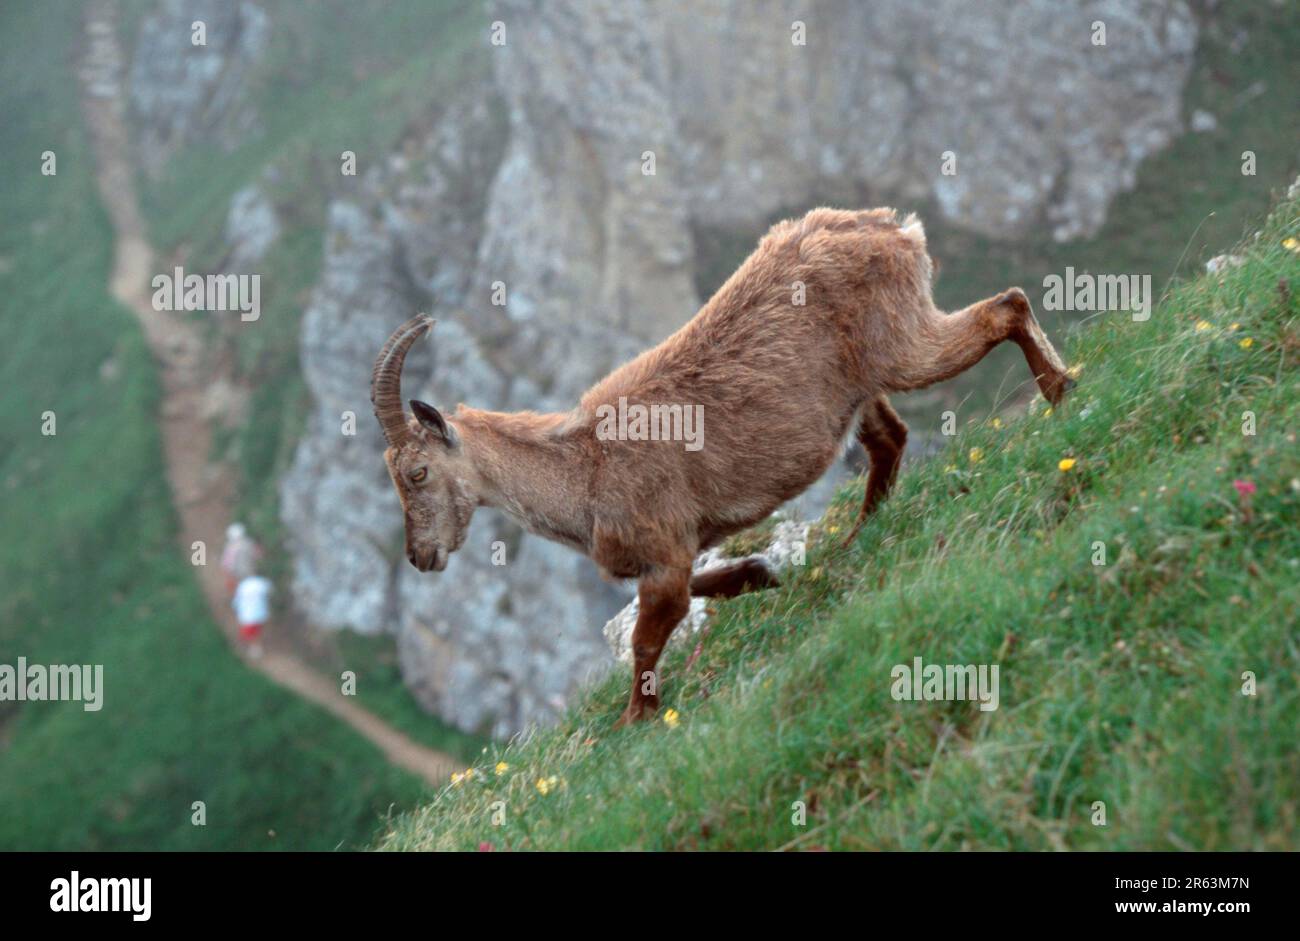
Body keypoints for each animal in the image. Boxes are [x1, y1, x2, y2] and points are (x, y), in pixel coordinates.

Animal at [370, 207, 1072, 726]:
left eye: (417, 474)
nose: (420, 556)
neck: (582, 470)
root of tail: (892, 228)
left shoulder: (663, 555)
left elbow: (646, 639)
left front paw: (636, 719)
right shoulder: (675, 554)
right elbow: (700, 589)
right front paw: (761, 574)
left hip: (905, 345)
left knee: (1004, 307)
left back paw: (1060, 390)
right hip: (859, 387)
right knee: (890, 440)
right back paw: (860, 533)